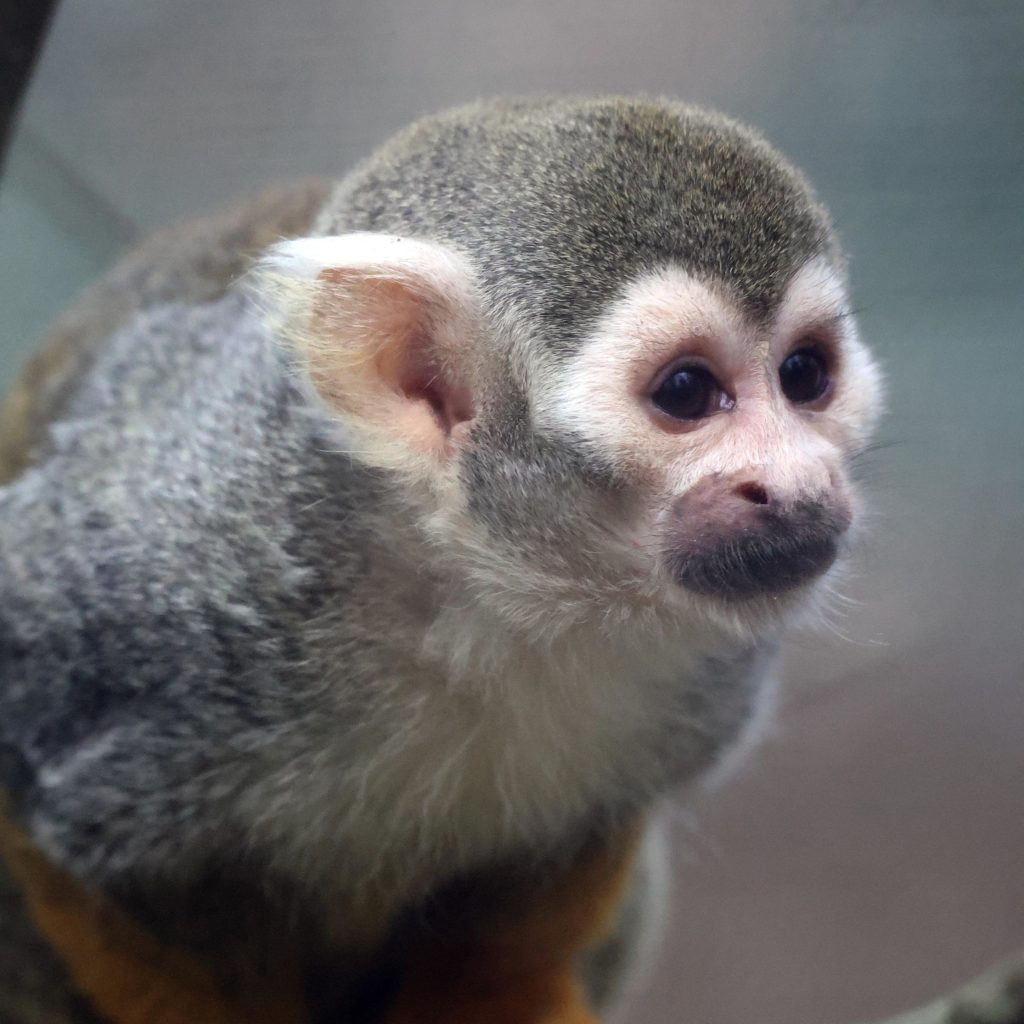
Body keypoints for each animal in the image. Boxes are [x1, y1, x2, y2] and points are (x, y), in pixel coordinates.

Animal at [0, 96, 883, 1024]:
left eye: (804, 375)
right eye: (686, 392)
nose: (797, 481)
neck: (485, 588)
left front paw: (498, 991)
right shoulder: (171, 565)